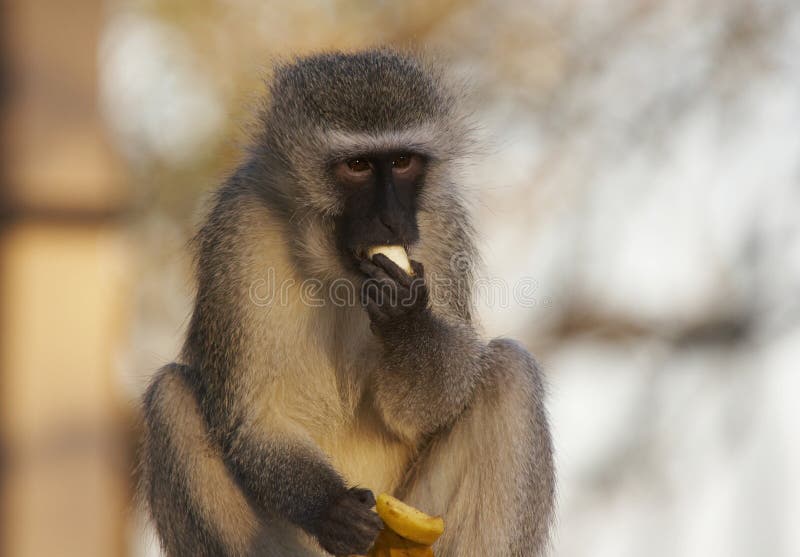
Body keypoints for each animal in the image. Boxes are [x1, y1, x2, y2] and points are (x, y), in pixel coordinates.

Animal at [140, 49, 555, 557]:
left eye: (402, 161)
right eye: (357, 165)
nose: (392, 220)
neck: (336, 268)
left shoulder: (439, 225)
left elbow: (431, 406)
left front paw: (405, 321)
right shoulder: (240, 228)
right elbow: (254, 421)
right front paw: (331, 509)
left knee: (509, 374)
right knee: (171, 396)